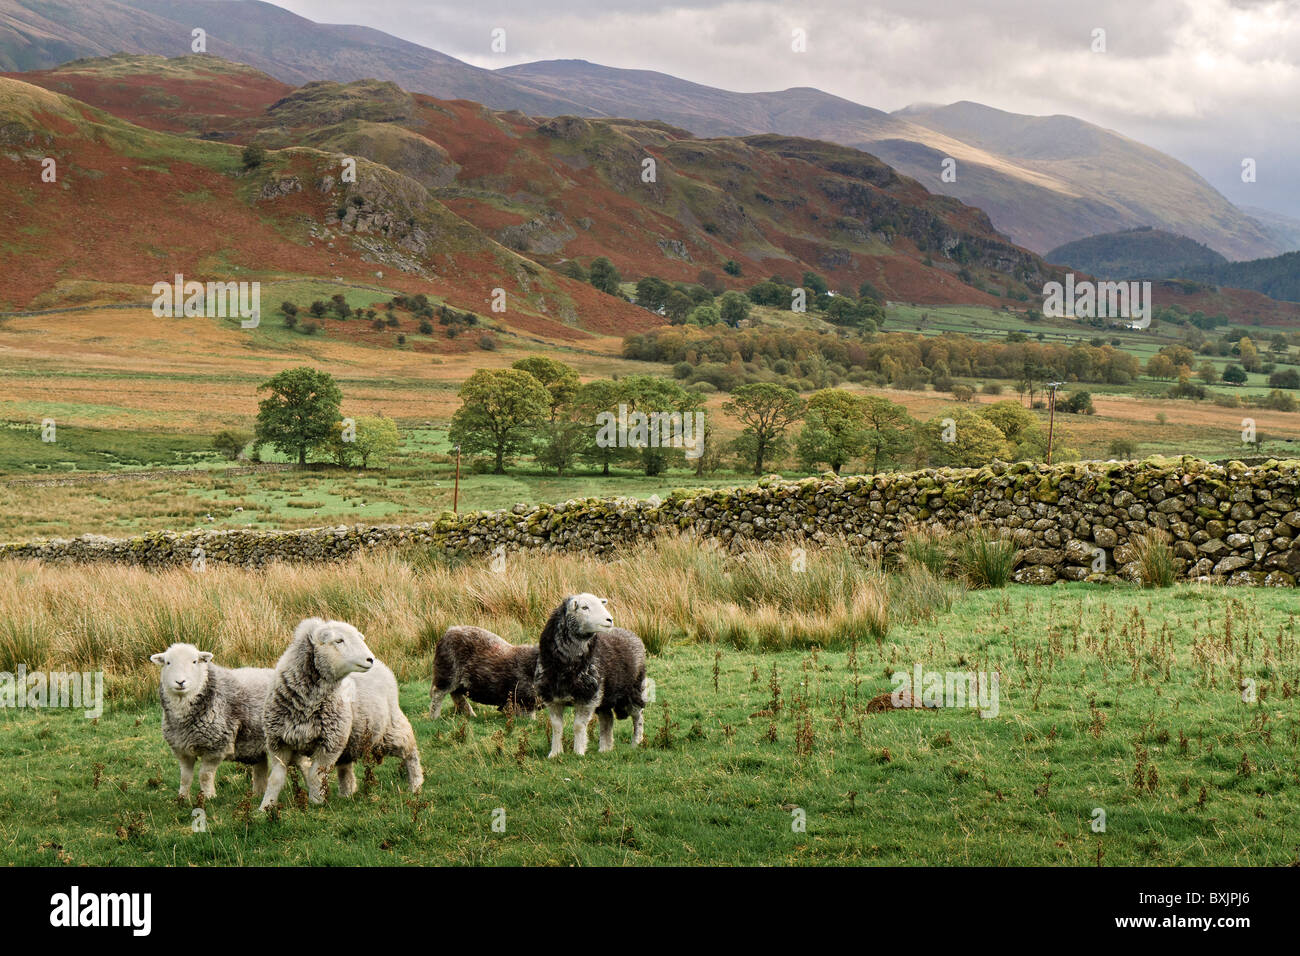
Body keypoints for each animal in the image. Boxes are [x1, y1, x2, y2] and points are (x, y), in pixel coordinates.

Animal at [151, 643, 280, 800]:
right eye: (168, 663)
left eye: (194, 661)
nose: (180, 682)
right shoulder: (182, 749)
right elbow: (185, 777)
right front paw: (182, 799)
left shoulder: (216, 746)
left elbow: (205, 775)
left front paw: (208, 797)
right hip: (255, 742)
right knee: (261, 767)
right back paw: (258, 793)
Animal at [258, 618, 423, 812]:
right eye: (339, 640)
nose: (370, 659)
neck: (306, 706)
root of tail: (383, 667)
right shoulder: (278, 742)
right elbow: (275, 778)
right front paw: (265, 808)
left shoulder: (330, 743)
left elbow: (315, 775)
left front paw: (316, 804)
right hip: (351, 735)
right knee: (346, 766)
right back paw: (346, 793)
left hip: (391, 728)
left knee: (410, 752)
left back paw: (416, 784)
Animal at [536, 593, 647, 757]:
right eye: (584, 607)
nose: (609, 620)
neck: (566, 667)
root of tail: (632, 634)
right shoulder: (553, 698)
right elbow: (556, 726)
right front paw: (555, 753)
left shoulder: (588, 696)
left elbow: (578, 726)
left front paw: (578, 752)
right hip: (605, 696)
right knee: (607, 719)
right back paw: (605, 748)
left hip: (634, 688)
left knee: (638, 715)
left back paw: (636, 742)